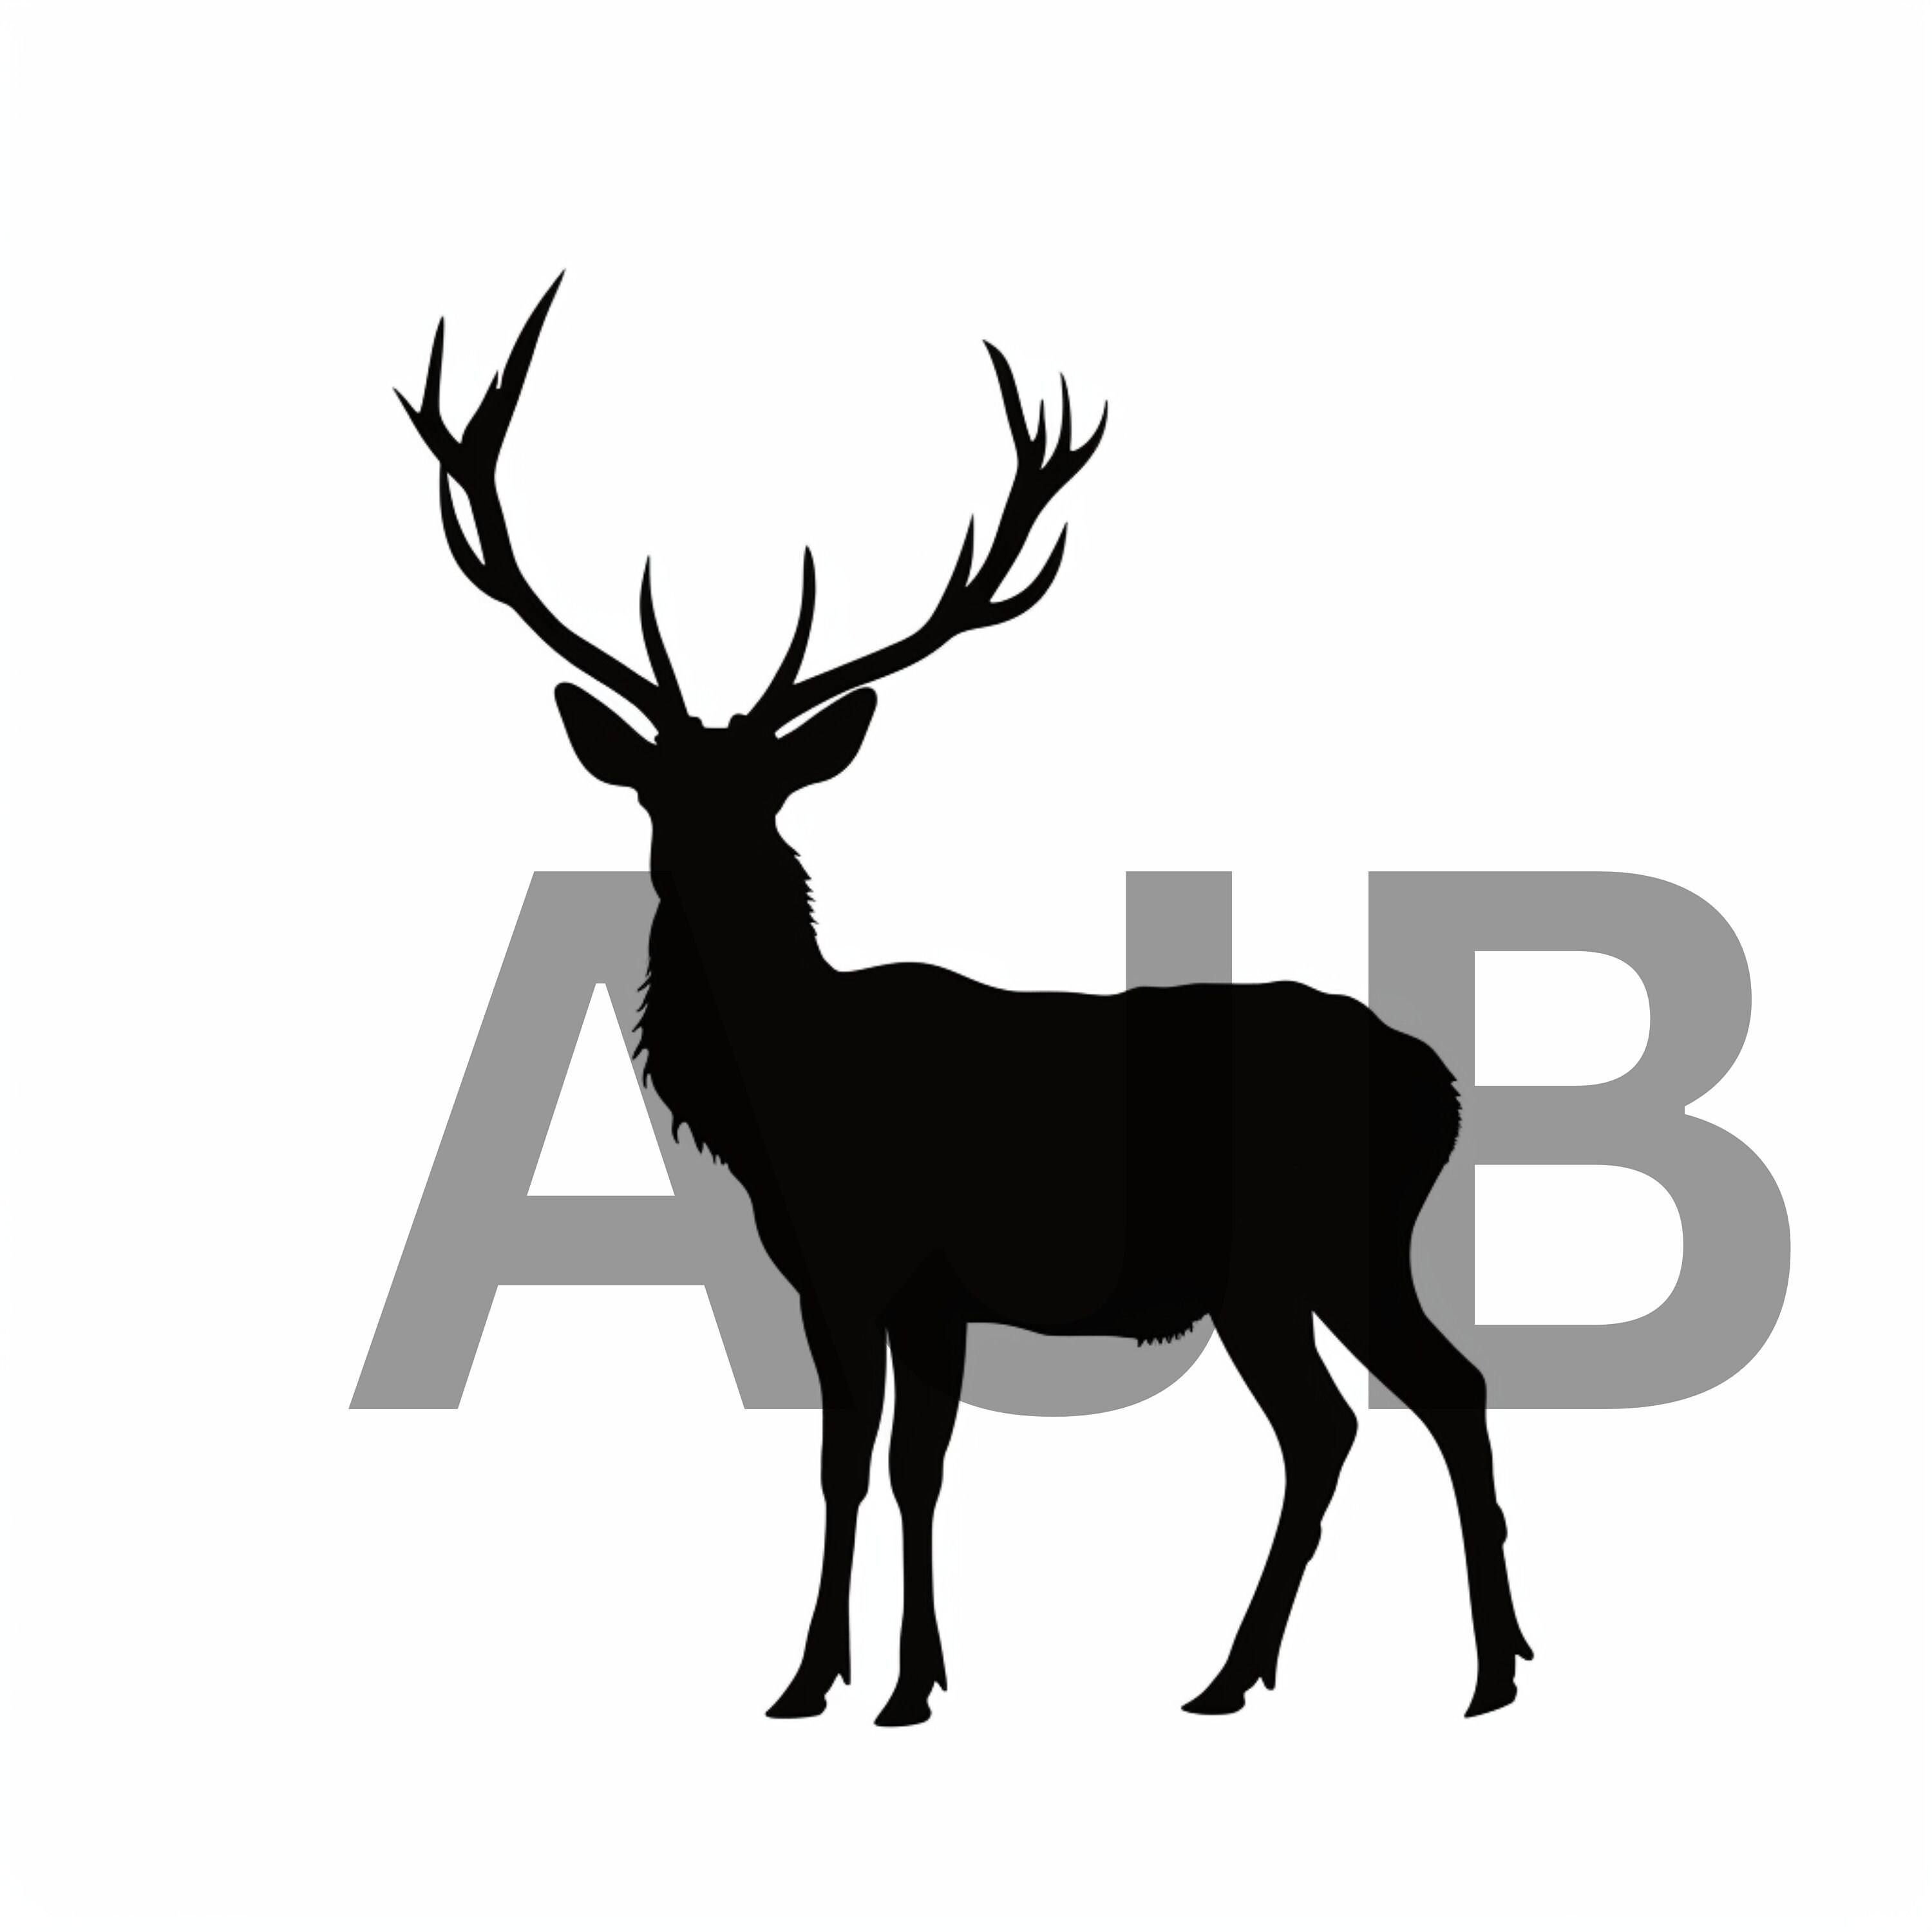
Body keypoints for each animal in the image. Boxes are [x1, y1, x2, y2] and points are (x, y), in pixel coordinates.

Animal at [397, 275, 1533, 1727]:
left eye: (768, 792)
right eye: (657, 789)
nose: (705, 871)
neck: (787, 1104)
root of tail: (1440, 1085)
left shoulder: (897, 1265)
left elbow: (887, 1466)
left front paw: (863, 1682)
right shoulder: (869, 1282)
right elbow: (872, 1463)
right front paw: (862, 1677)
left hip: (1320, 1242)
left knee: (1425, 1395)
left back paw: (1469, 1669)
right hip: (1289, 1270)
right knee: (1354, 1419)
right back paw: (1266, 1673)